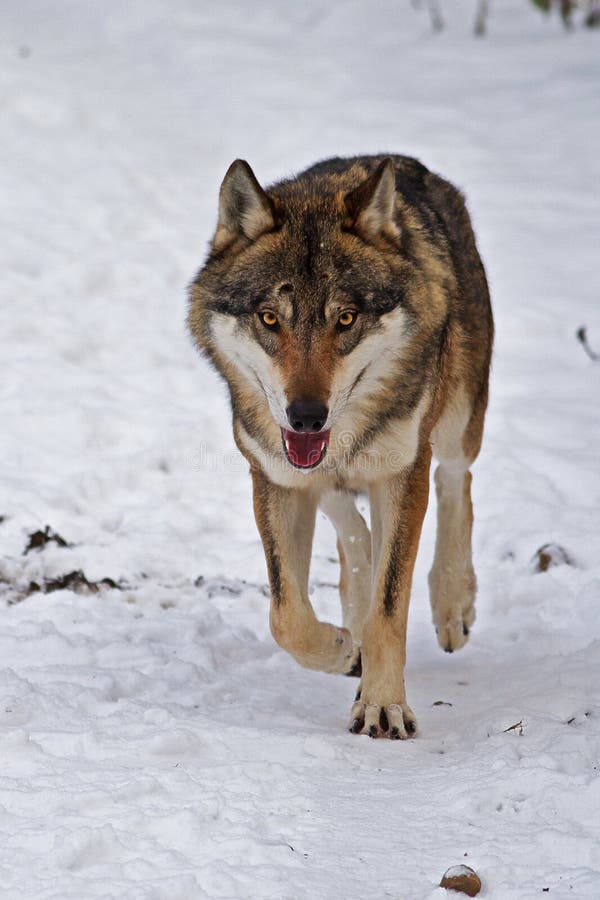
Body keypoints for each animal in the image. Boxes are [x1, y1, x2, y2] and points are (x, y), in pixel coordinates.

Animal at [188, 155, 493, 739]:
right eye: (269, 318)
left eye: (346, 318)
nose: (307, 416)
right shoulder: (275, 478)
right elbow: (286, 616)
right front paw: (340, 648)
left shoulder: (402, 471)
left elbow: (389, 608)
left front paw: (382, 706)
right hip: (314, 476)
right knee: (353, 532)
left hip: (456, 418)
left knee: (455, 480)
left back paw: (451, 603)